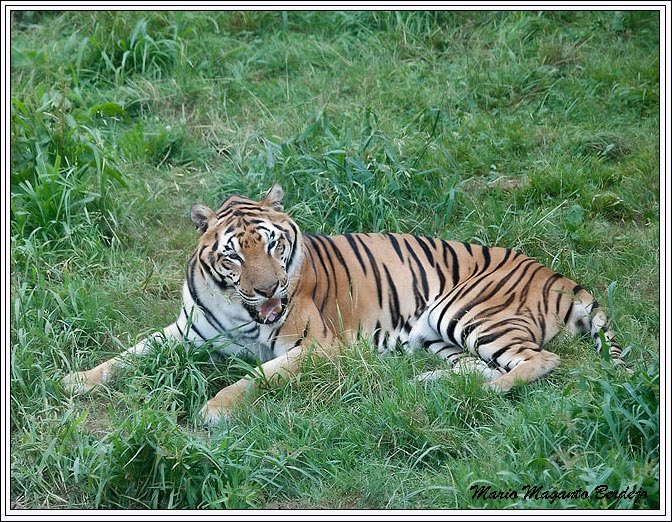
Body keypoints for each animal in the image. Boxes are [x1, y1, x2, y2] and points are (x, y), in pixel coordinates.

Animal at [62, 183, 624, 425]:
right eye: (234, 254)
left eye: (271, 245)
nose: (268, 290)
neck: (238, 309)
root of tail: (557, 274)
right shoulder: (186, 332)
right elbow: (131, 353)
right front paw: (74, 380)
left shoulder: (317, 349)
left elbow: (257, 376)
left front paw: (214, 410)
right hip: (436, 336)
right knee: (477, 367)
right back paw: (430, 384)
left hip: (465, 310)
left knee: (539, 360)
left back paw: (478, 394)